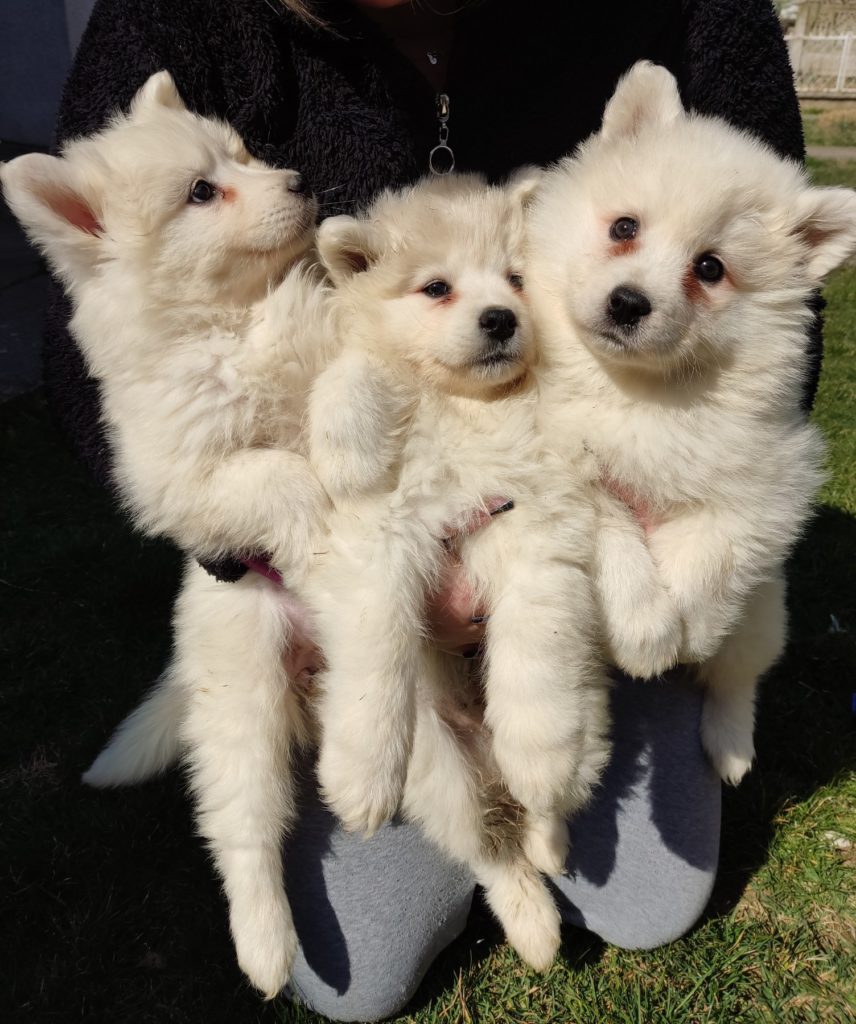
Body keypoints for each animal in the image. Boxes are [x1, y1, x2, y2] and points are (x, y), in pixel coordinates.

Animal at [1, 74, 335, 999]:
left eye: (246, 154)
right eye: (199, 192)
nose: (299, 180)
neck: (233, 321)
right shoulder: (175, 479)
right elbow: (271, 471)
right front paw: (317, 513)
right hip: (241, 696)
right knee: (242, 829)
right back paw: (266, 948)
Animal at [305, 174, 610, 966]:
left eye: (516, 279)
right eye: (436, 288)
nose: (501, 318)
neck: (471, 413)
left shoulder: (537, 527)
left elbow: (533, 662)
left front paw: (536, 755)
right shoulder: (379, 539)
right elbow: (376, 655)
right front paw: (358, 776)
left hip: (592, 711)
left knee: (543, 803)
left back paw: (548, 837)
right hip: (439, 770)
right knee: (486, 846)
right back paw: (536, 924)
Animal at [528, 61, 855, 782]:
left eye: (710, 268)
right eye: (624, 227)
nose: (629, 303)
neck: (639, 393)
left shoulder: (767, 478)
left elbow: (716, 550)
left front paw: (692, 626)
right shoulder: (557, 466)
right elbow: (614, 534)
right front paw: (649, 630)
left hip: (766, 612)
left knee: (738, 677)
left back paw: (731, 747)